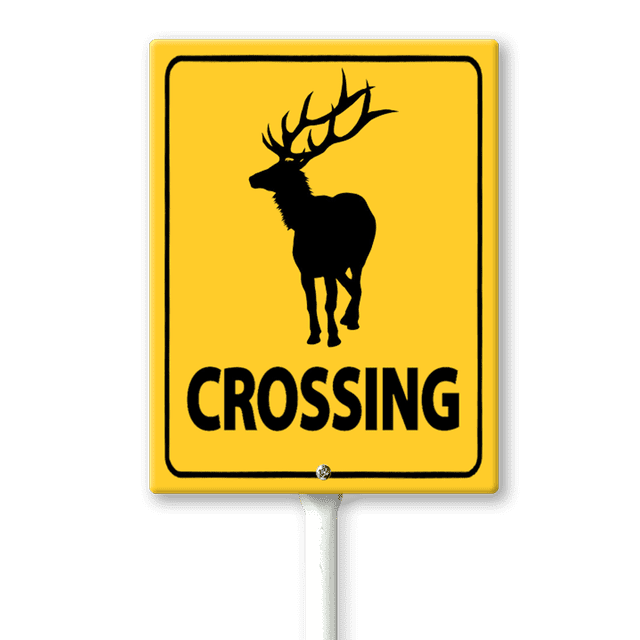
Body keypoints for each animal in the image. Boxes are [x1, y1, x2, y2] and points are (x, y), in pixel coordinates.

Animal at [249, 71, 395, 347]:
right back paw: (348, 318)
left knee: (358, 284)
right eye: (273, 164)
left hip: (360, 255)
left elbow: (329, 303)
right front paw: (314, 335)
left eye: (280, 170)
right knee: (352, 286)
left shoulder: (328, 268)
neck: (306, 226)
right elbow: (312, 304)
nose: (252, 178)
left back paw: (353, 320)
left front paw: (333, 337)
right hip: (342, 264)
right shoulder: (305, 270)